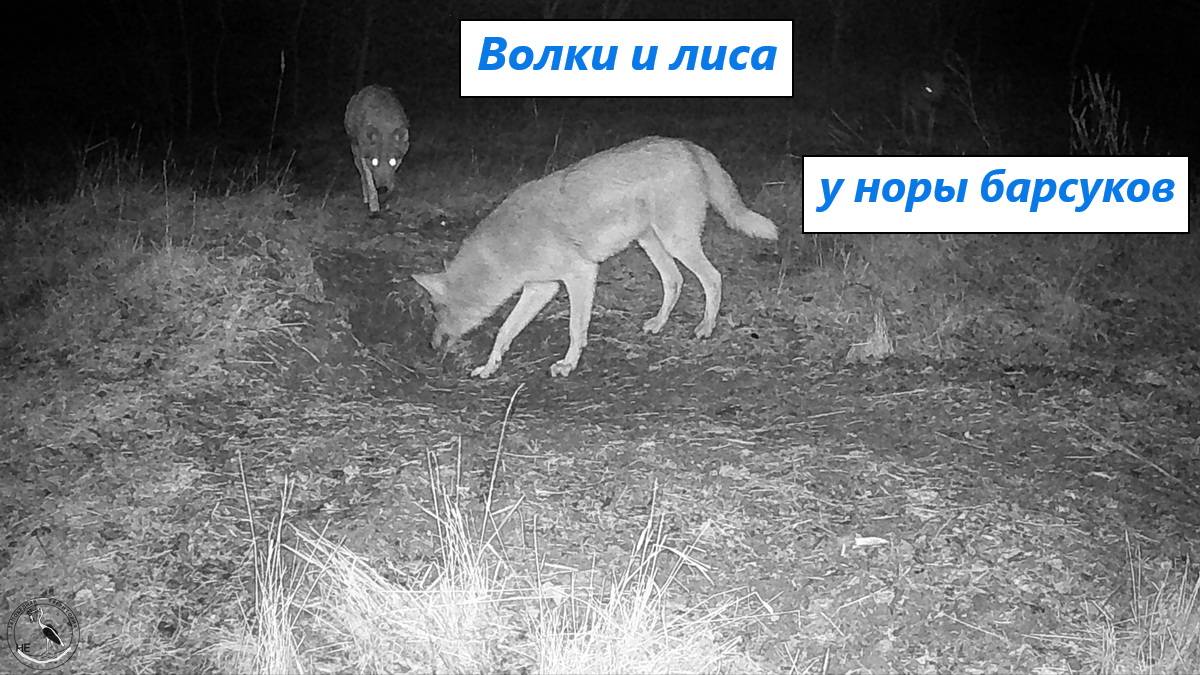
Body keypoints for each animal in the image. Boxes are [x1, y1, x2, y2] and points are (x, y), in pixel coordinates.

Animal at [412, 136, 778, 379]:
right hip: (651, 243)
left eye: (434, 310)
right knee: (674, 281)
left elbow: (576, 328)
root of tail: (687, 145)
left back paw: (705, 327)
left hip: (677, 243)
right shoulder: (540, 287)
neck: (505, 249)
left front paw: (568, 364)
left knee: (713, 278)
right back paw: (658, 324)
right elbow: (504, 331)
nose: (430, 345)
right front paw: (489, 367)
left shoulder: (580, 275)